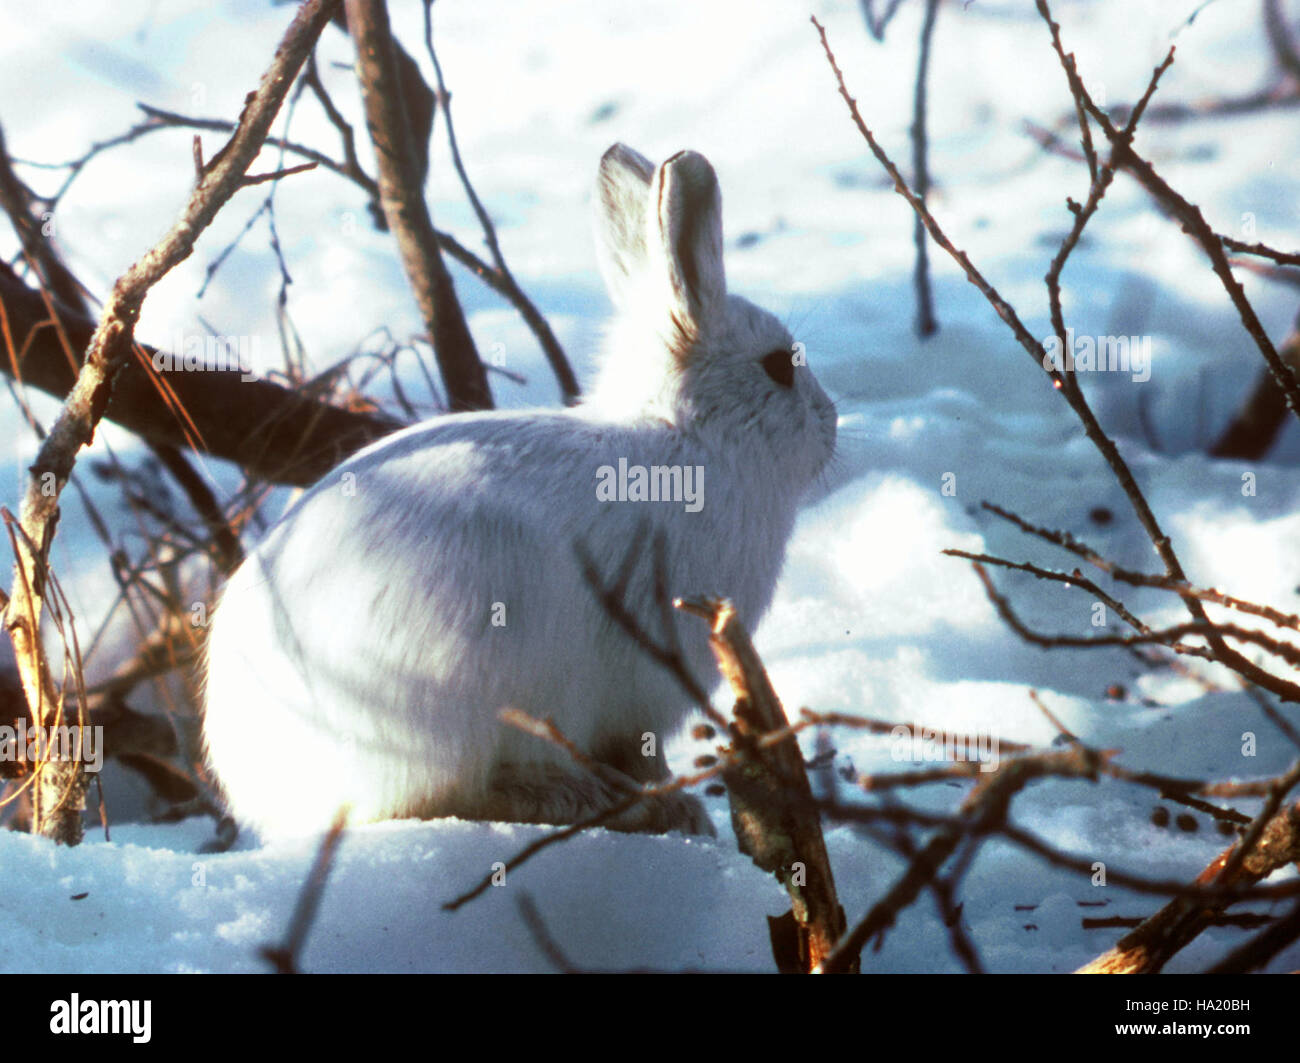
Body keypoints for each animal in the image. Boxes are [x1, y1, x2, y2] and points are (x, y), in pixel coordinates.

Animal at [201, 143, 837, 839]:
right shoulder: (645, 682)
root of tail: (275, 789)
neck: (688, 439)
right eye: (778, 367)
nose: (832, 424)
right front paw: (678, 805)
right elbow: (646, 753)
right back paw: (577, 799)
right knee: (436, 800)